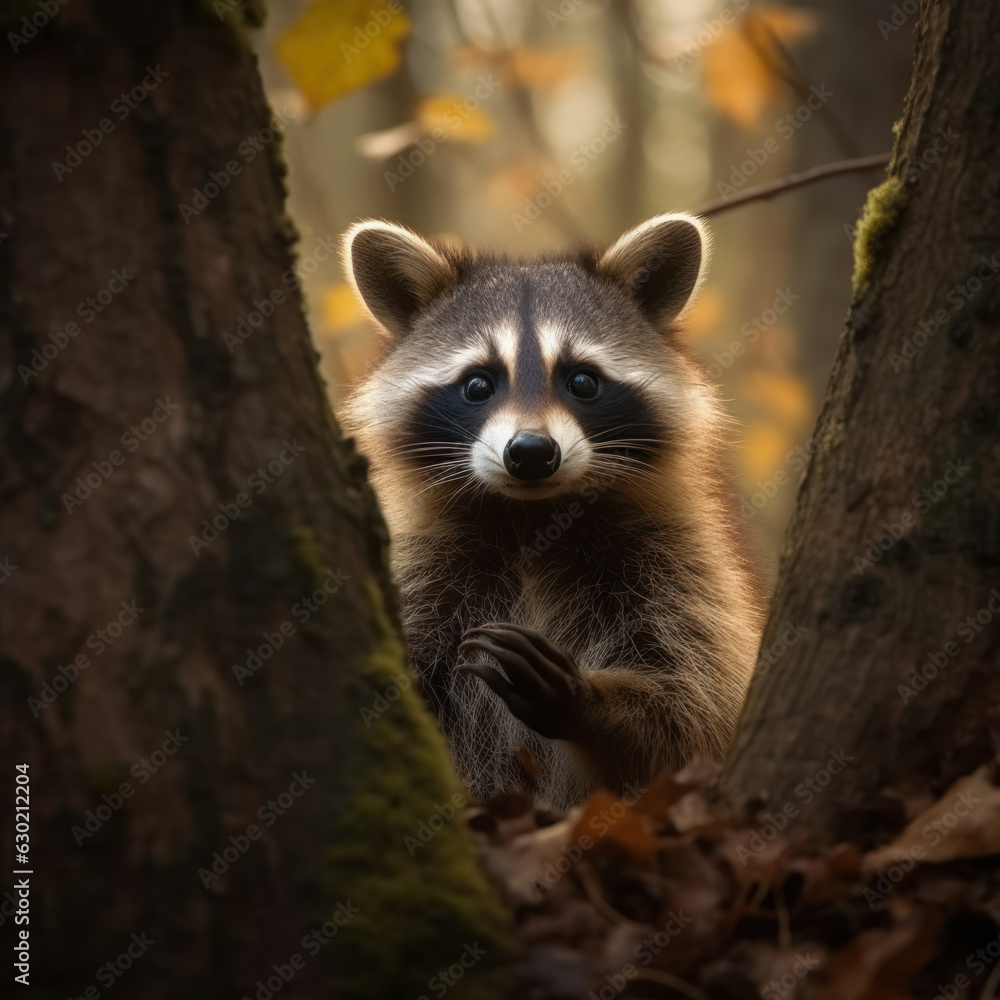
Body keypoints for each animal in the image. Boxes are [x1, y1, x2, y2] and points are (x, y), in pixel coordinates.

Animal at [340, 213, 764, 810]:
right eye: (478, 384)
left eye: (582, 380)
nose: (532, 453)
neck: (532, 519)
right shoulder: (423, 565)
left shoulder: (676, 560)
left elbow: (695, 702)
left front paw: (590, 702)